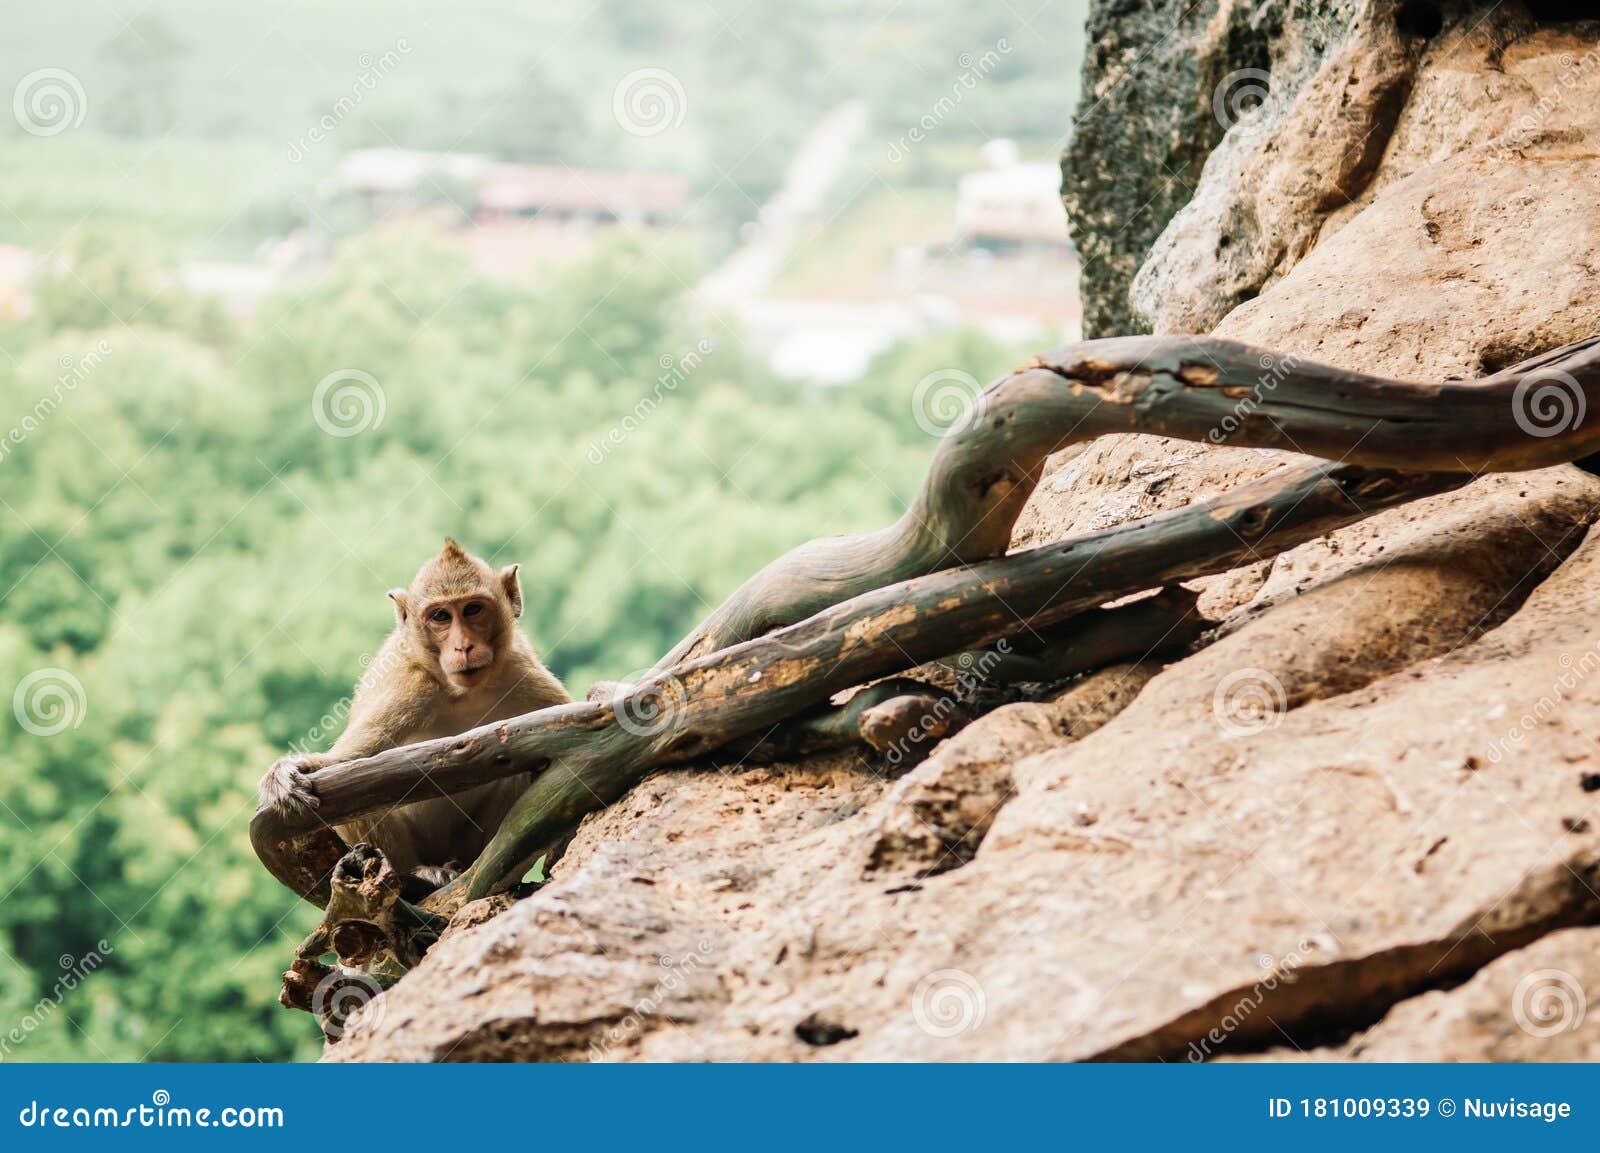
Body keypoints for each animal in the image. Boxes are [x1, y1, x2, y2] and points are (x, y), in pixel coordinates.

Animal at [257, 538, 570, 897]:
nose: (463, 647)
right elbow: (347, 763)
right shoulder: (410, 686)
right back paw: (422, 873)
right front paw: (287, 772)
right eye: (440, 616)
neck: (465, 692)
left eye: (473, 609)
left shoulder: (521, 674)